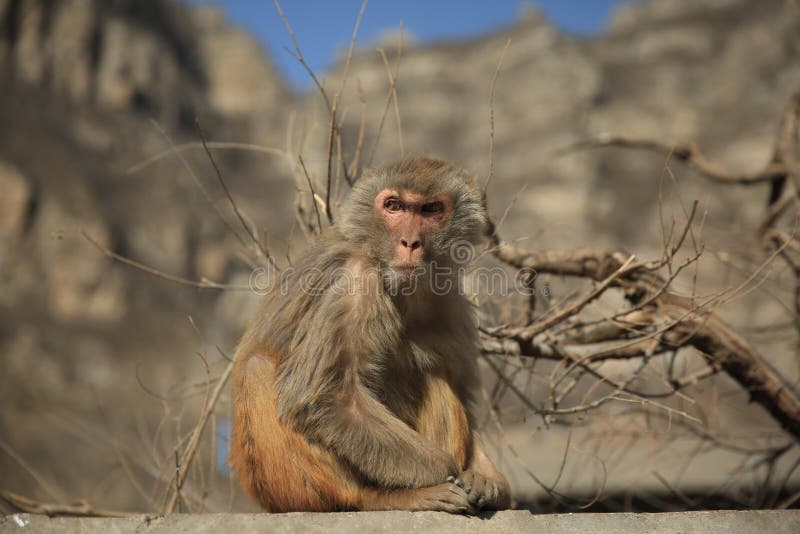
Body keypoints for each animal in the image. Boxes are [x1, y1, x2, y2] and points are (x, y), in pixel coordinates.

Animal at [228, 157, 511, 513]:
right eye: (394, 206)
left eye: (430, 209)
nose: (410, 242)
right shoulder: (358, 282)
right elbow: (328, 397)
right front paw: (446, 470)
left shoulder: (451, 301)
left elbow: (462, 392)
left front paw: (486, 479)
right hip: (291, 488)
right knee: (258, 369)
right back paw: (388, 497)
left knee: (434, 371)